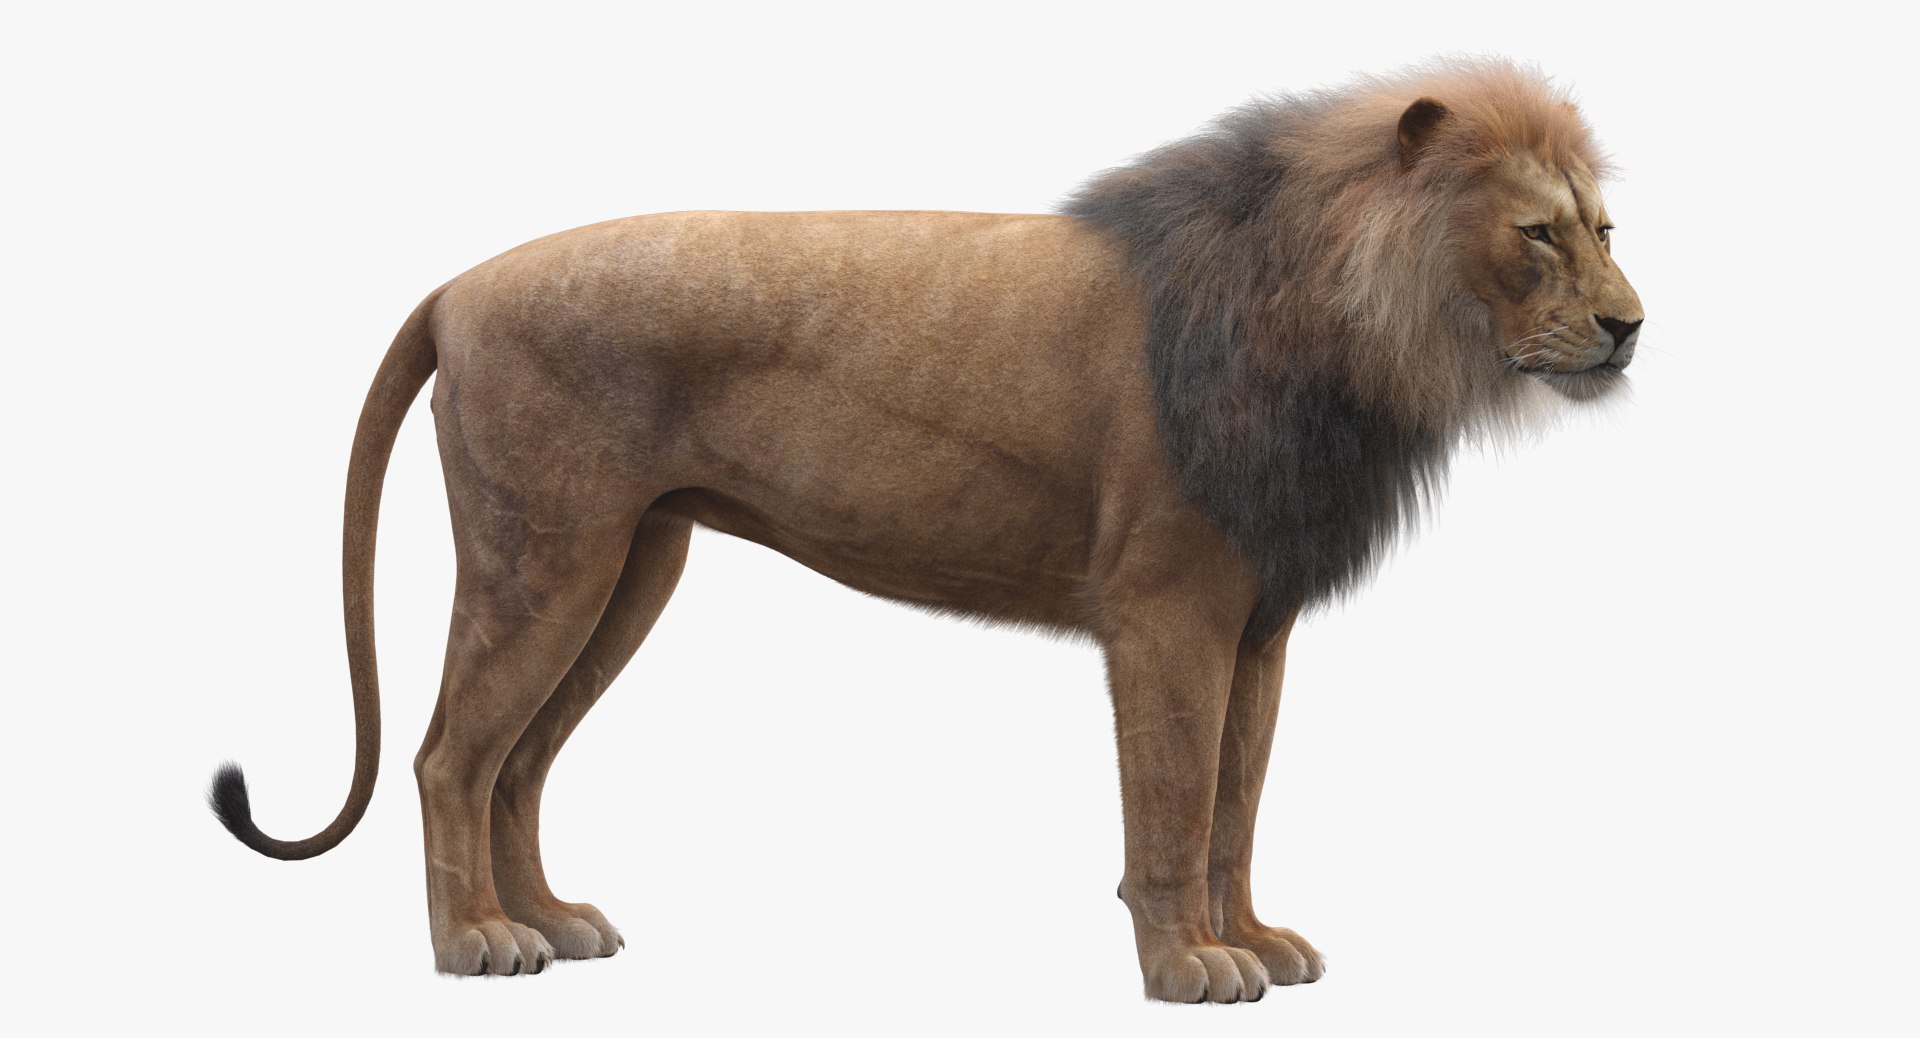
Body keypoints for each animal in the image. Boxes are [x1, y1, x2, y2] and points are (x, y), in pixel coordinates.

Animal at [210, 58, 1642, 1002]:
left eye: (1606, 227)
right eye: (1537, 232)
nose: (1632, 325)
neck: (1347, 327)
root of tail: (455, 286)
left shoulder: (1259, 621)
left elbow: (1236, 801)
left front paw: (1257, 941)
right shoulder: (1166, 608)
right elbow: (1174, 802)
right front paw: (1189, 965)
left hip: (631, 566)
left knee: (518, 765)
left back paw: (554, 924)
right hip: (543, 555)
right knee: (451, 759)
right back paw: (475, 946)